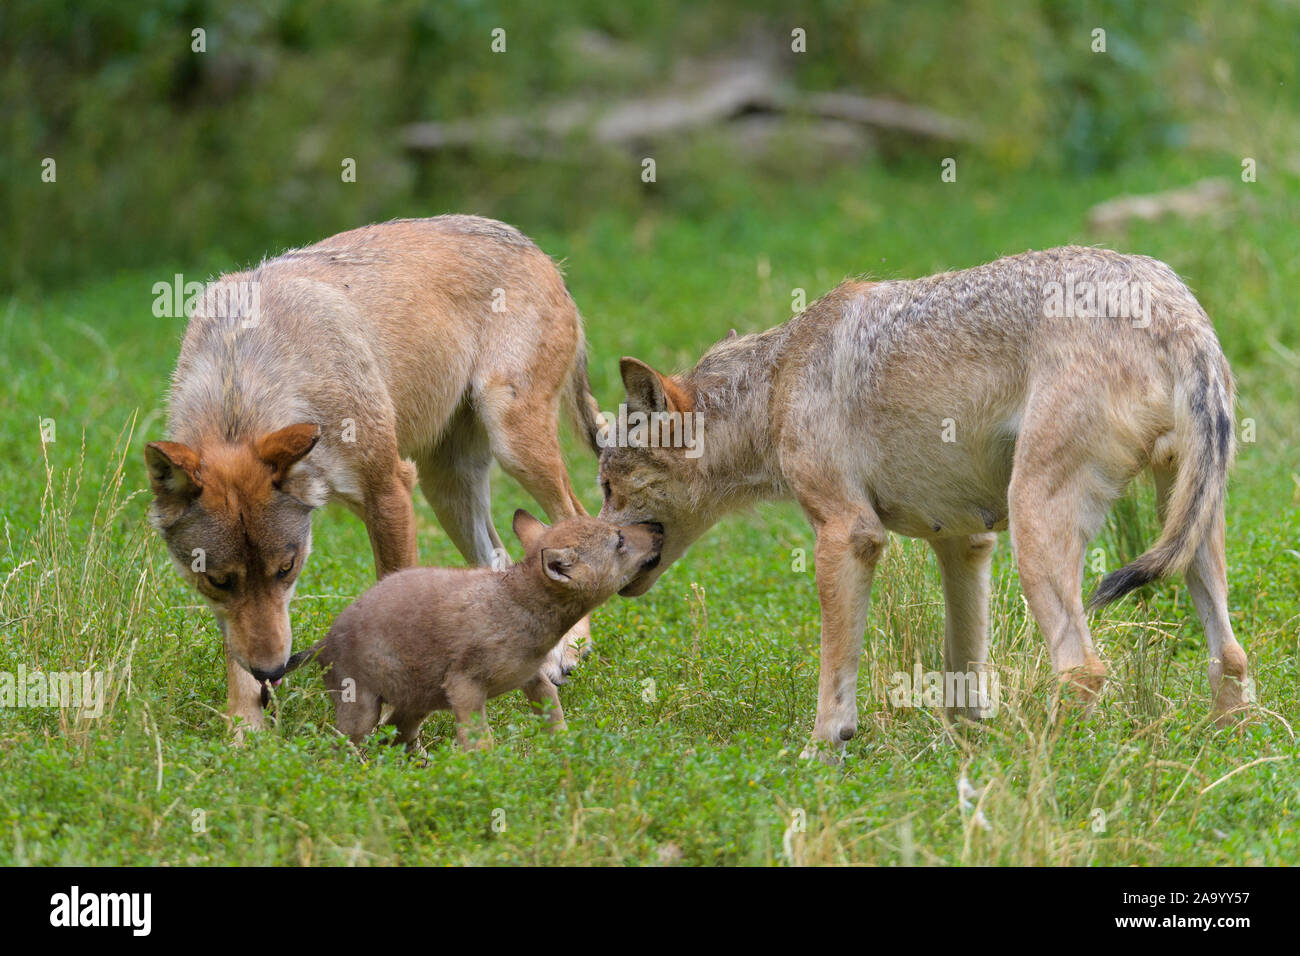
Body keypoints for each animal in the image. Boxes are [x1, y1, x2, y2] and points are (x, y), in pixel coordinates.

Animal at [145, 216, 606, 735]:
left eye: (287, 569)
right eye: (218, 582)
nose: (273, 670)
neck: (242, 384)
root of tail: (536, 249)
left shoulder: (388, 489)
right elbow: (234, 657)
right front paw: (245, 733)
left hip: (514, 444)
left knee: (575, 515)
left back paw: (569, 649)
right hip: (447, 489)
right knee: (500, 561)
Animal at [596, 246, 1250, 760]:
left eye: (605, 487)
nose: (592, 540)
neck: (776, 384)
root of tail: (1176, 309)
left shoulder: (847, 535)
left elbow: (835, 679)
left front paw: (820, 751)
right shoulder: (964, 542)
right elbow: (962, 680)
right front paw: (961, 752)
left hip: (1039, 528)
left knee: (1083, 671)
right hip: (1187, 529)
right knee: (1231, 656)